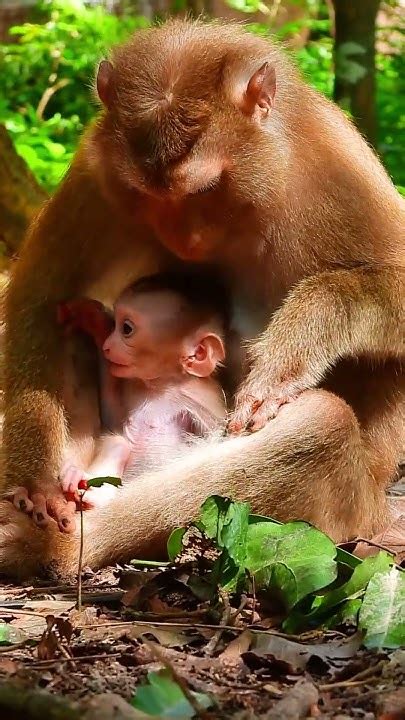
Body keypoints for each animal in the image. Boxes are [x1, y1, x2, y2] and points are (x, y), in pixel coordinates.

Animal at [0, 19, 403, 580]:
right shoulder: (94, 175)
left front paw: (298, 337)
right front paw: (35, 477)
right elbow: (41, 297)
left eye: (204, 191)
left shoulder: (334, 166)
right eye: (146, 195)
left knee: (323, 424)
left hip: (351, 505)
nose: (183, 240)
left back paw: (57, 544)